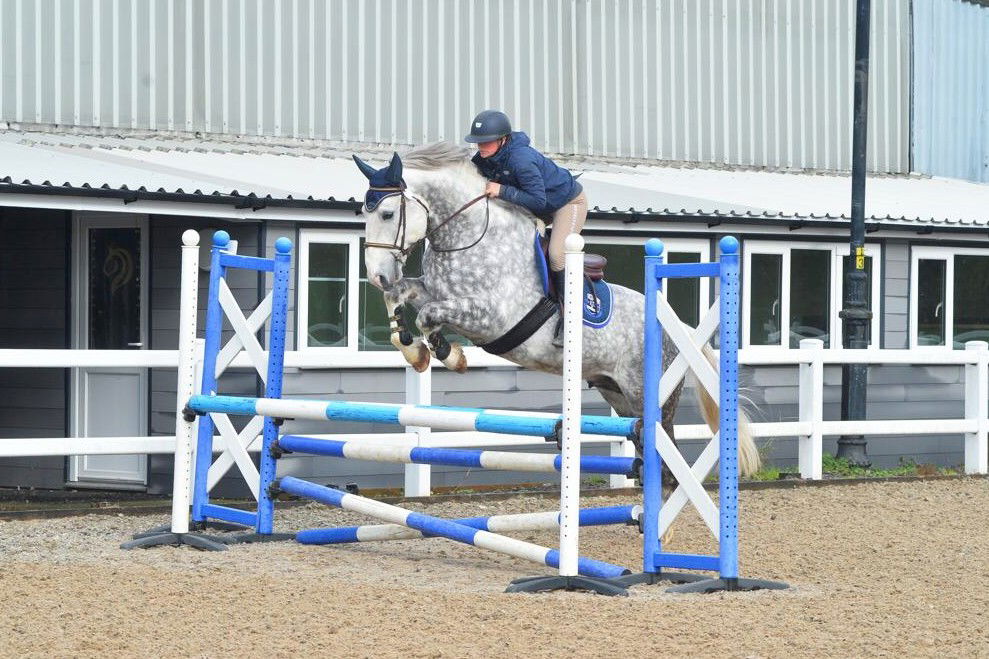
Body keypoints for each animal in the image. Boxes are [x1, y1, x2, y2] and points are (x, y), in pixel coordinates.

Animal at [353, 142, 759, 477]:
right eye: (364, 213)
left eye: (387, 214)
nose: (377, 275)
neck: (470, 238)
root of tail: (681, 328)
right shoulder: (433, 291)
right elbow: (403, 297)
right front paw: (413, 349)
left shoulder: (490, 317)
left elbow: (429, 316)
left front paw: (445, 353)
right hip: (618, 394)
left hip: (652, 397)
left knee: (668, 459)